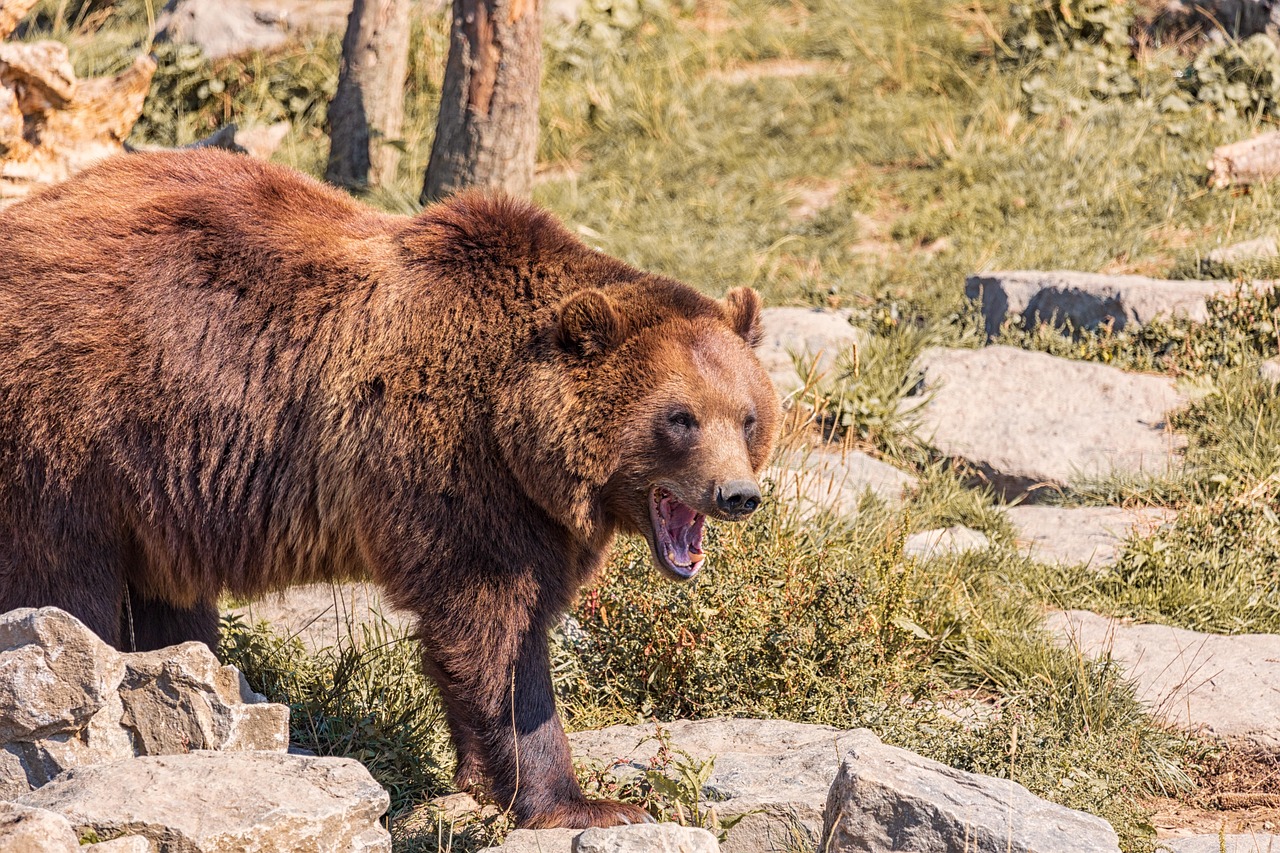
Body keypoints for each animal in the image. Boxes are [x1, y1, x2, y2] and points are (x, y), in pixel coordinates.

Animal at [0, 149, 780, 828]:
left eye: (748, 414)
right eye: (680, 418)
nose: (738, 494)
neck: (516, 429)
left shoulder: (532, 513)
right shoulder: (453, 474)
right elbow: (494, 636)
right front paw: (576, 800)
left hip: (163, 485)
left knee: (170, 599)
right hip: (75, 431)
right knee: (67, 587)